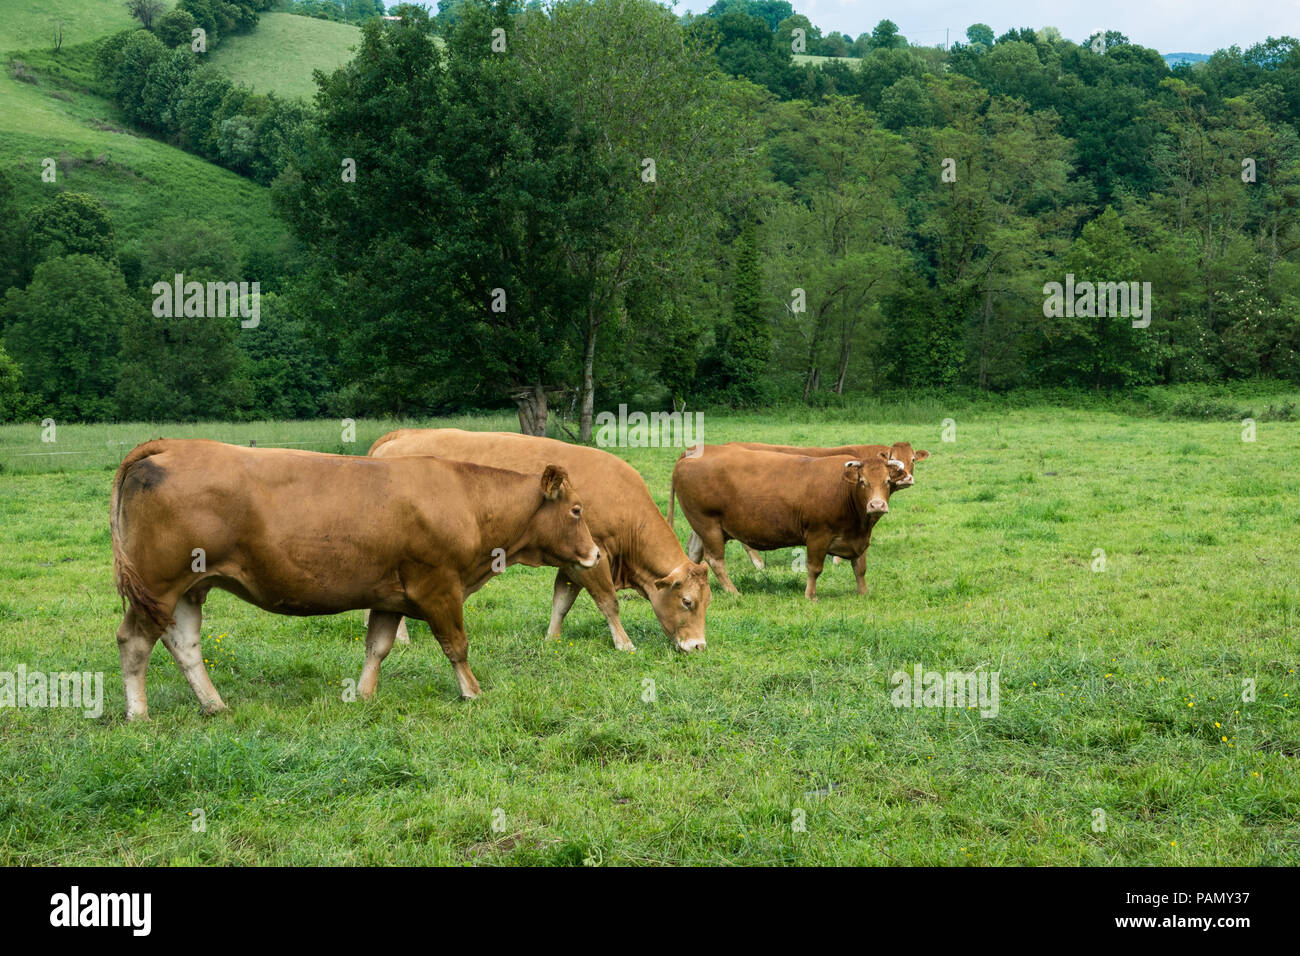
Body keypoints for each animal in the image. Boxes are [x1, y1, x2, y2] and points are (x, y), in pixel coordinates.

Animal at [110, 439, 600, 719]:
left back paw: (214, 705)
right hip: (158, 584)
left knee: (185, 645)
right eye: (577, 510)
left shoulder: (388, 594)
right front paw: (472, 693)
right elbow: (456, 645)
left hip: (190, 588)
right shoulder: (439, 586)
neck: (468, 502)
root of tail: (171, 446)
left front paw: (364, 696)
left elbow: (377, 646)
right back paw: (139, 716)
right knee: (135, 641)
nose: (595, 553)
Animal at [369, 429, 710, 653]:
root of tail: (400, 436)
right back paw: (400, 639)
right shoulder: (595, 559)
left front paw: (552, 639)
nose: (699, 646)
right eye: (687, 601)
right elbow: (609, 602)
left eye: (707, 601)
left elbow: (562, 601)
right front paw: (624, 644)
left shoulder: (574, 561)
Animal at [668, 445, 903, 599]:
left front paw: (863, 593)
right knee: (715, 560)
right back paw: (733, 591)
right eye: (862, 482)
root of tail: (695, 451)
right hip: (707, 524)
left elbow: (860, 567)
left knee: (694, 553)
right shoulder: (818, 534)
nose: (877, 505)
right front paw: (811, 595)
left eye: (887, 481)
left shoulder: (859, 538)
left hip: (703, 527)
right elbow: (814, 568)